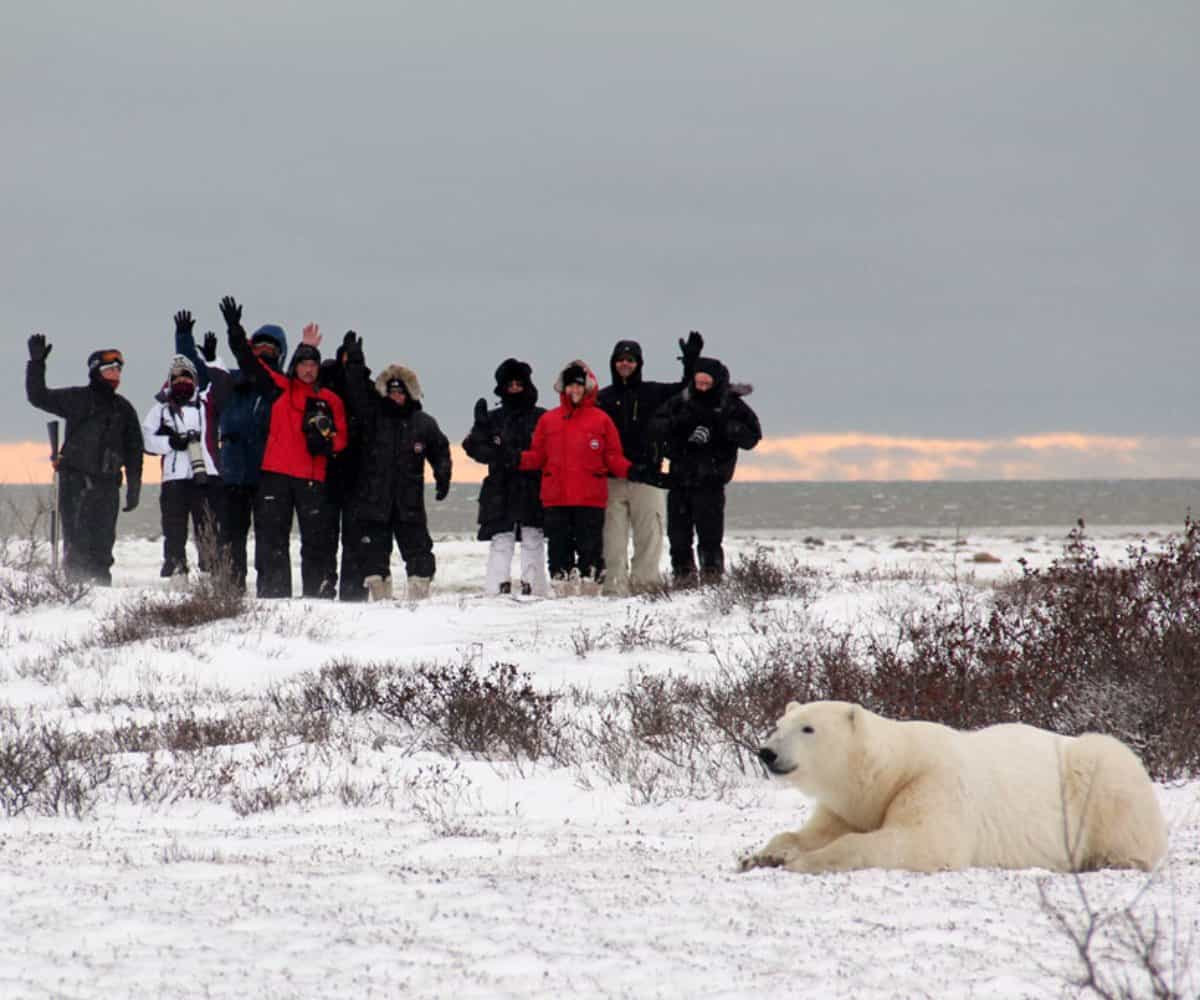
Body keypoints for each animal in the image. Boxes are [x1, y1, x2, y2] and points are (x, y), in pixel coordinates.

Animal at [739, 700, 1168, 875]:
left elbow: (920, 841)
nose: (767, 752)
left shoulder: (933, 781)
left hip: (1098, 772)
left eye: (808, 728)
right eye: (778, 724)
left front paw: (803, 862)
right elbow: (812, 832)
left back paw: (1112, 859)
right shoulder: (851, 807)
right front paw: (762, 856)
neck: (890, 771)